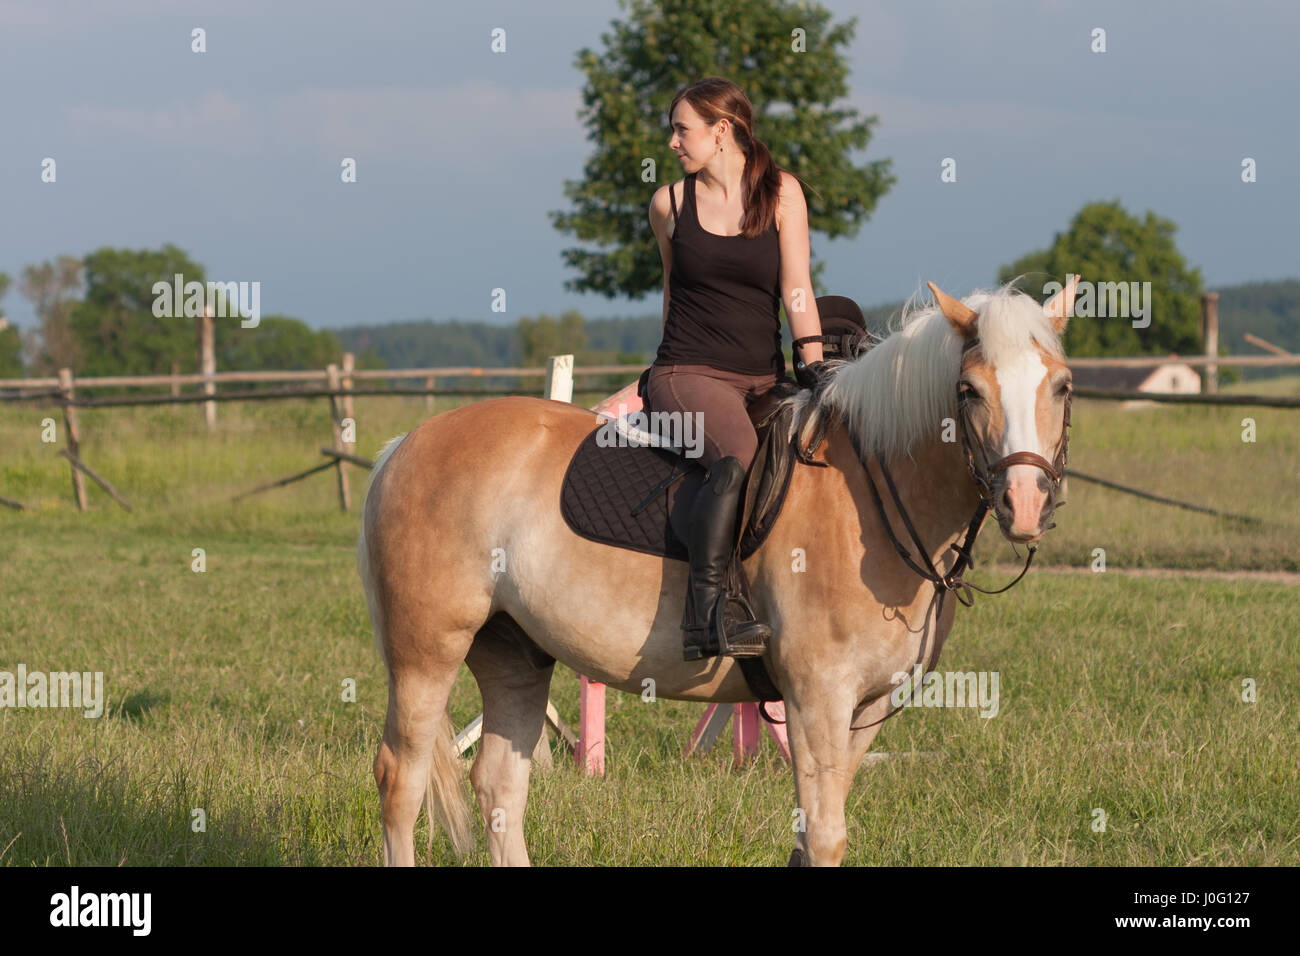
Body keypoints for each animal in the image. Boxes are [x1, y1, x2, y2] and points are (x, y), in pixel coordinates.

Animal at [357, 276, 1078, 866]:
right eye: (968, 390)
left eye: (1063, 385)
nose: (1025, 504)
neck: (870, 495)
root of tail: (405, 445)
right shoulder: (816, 699)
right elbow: (825, 837)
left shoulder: (865, 712)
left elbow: (811, 835)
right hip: (428, 651)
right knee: (402, 779)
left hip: (514, 652)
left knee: (500, 786)